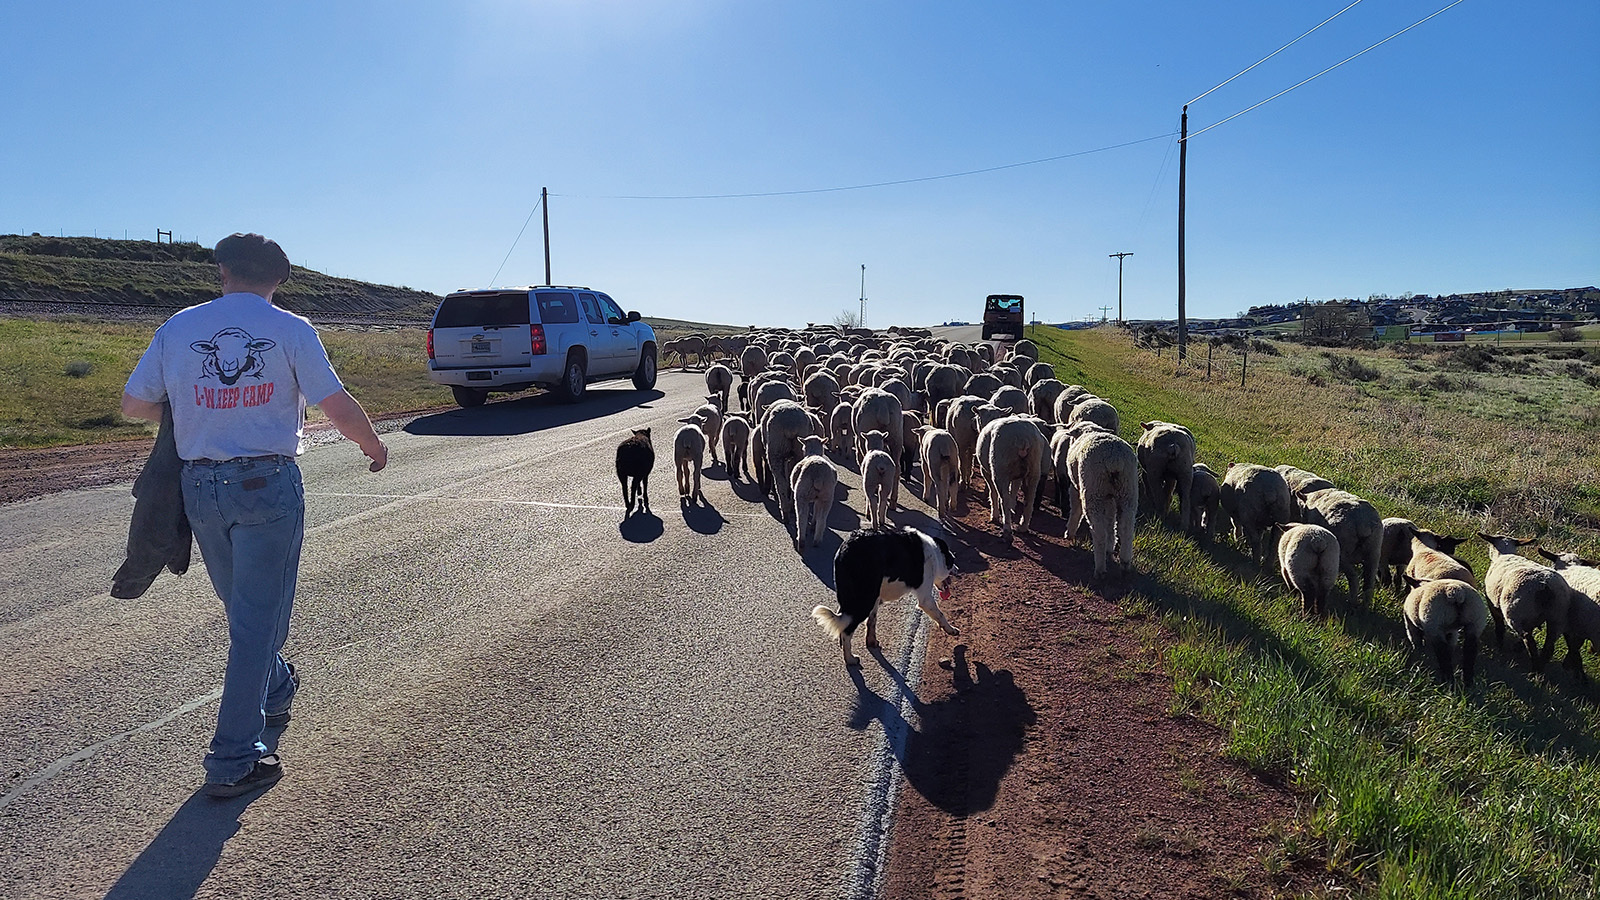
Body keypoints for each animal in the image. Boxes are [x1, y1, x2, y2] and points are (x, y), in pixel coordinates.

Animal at [1064, 430, 1139, 578]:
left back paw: (1099, 569)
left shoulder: (1076, 487)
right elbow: (1110, 521)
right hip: (1128, 490)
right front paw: (1110, 546)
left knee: (1099, 532)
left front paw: (1069, 533)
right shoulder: (1109, 497)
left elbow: (1075, 509)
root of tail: (1114, 459)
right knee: (1126, 530)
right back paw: (1125, 563)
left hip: (1093, 490)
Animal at [1478, 533, 1571, 671]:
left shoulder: (1493, 604)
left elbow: (1499, 627)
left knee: (1528, 639)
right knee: (1548, 647)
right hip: (1557, 617)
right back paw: (1539, 669)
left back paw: (1533, 668)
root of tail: (1545, 586)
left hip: (1515, 611)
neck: (1504, 554)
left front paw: (1499, 646)